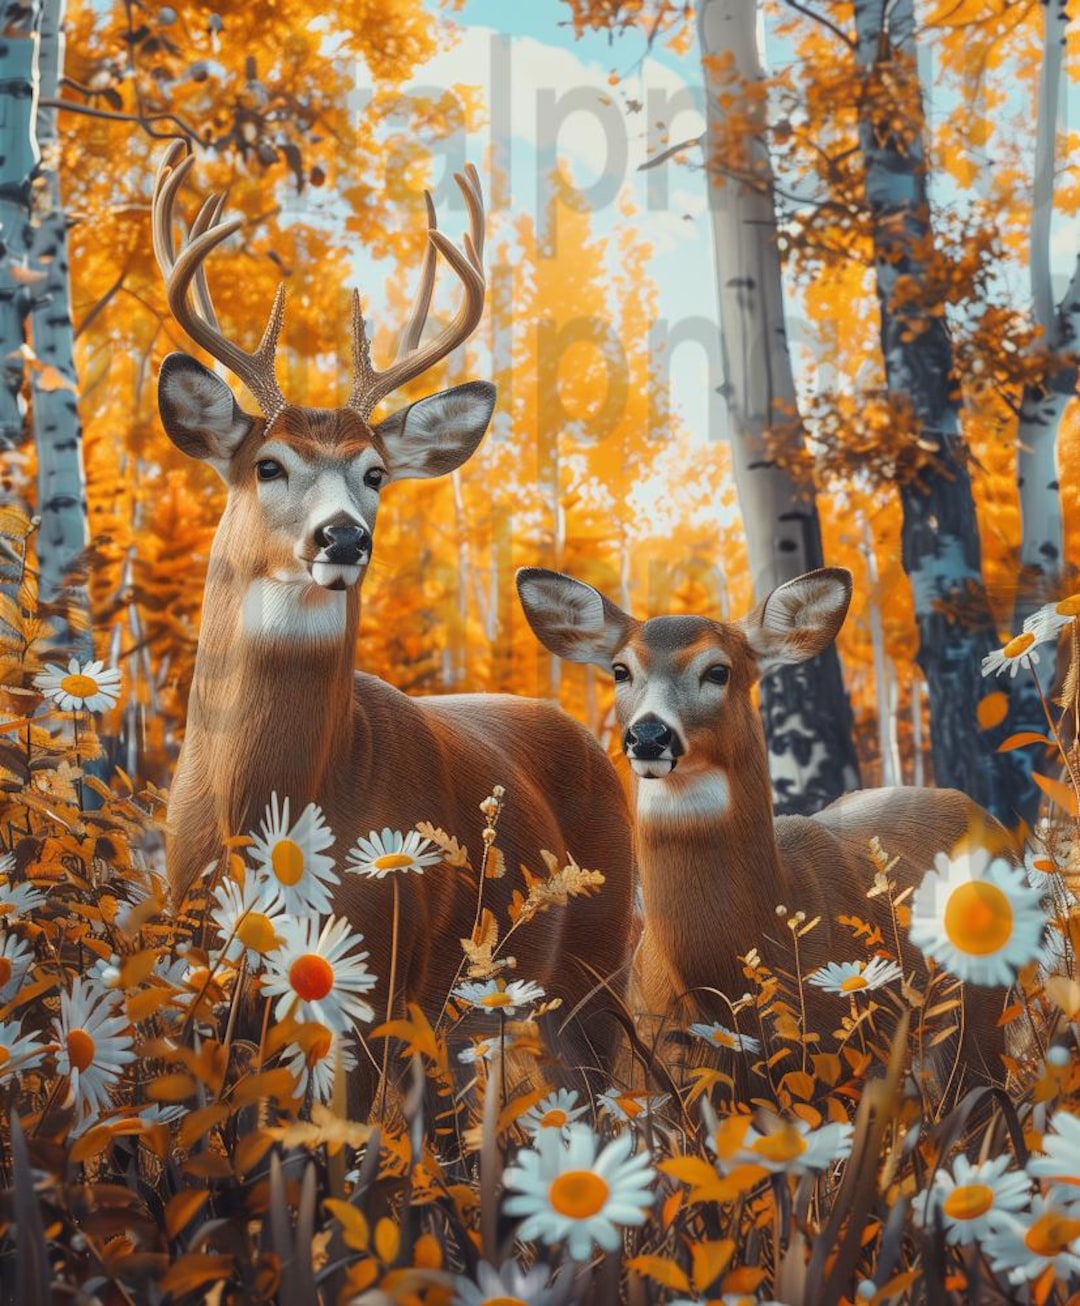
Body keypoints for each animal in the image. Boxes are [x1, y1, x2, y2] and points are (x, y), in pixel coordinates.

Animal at [151, 142, 635, 1106]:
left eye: (375, 472)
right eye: (268, 464)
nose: (344, 537)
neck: (265, 808)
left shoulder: (377, 964)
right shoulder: (198, 970)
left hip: (592, 978)